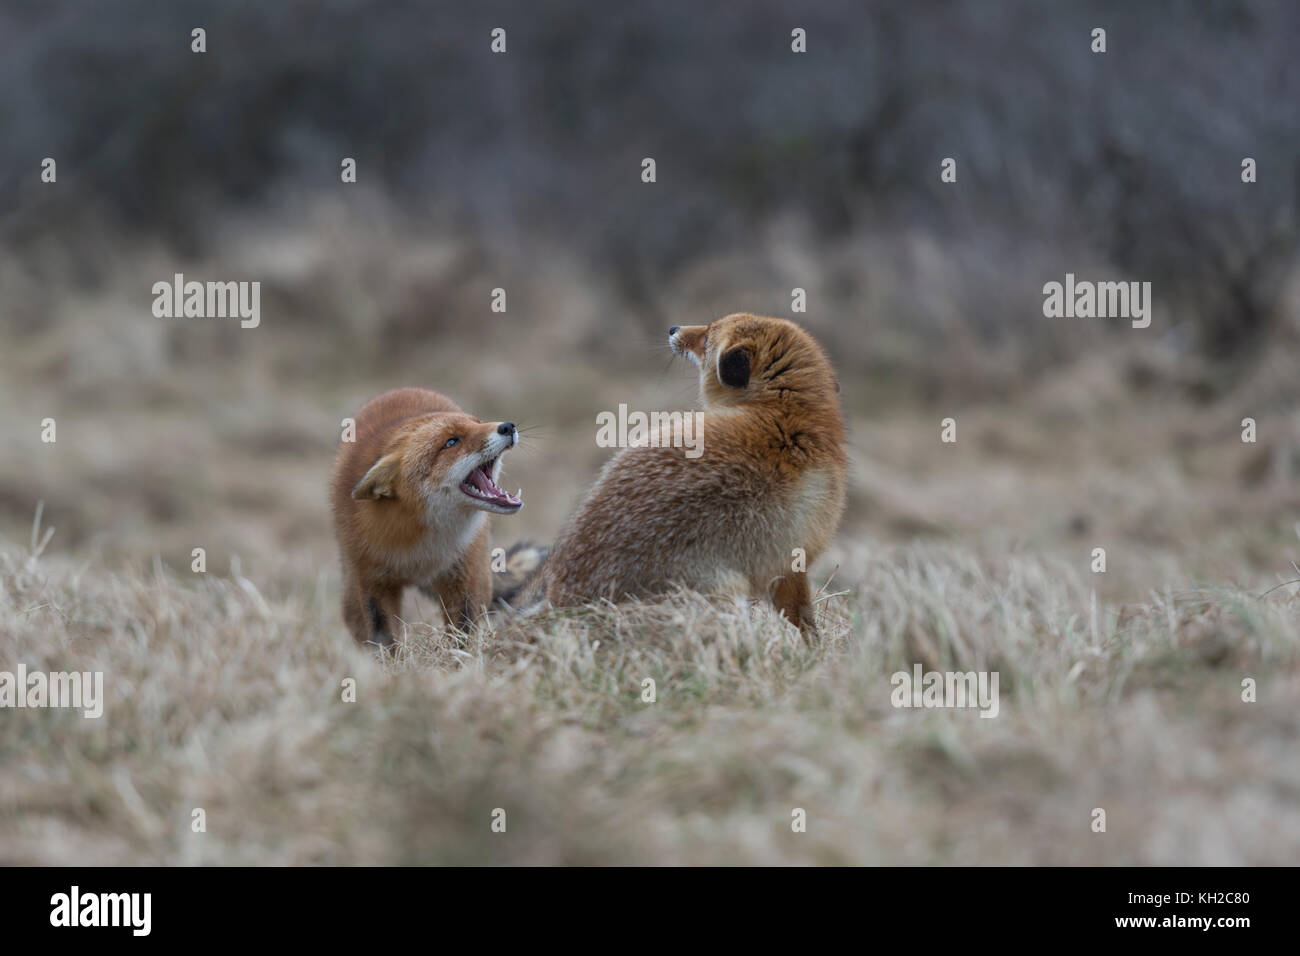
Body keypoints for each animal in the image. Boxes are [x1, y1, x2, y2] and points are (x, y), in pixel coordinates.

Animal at [330, 387, 523, 648]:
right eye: (451, 441)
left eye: (478, 423)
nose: (508, 426)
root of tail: (400, 389)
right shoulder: (373, 580)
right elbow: (384, 635)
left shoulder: (462, 574)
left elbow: (463, 628)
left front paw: (460, 656)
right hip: (352, 597)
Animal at [539, 313, 847, 636]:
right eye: (710, 328)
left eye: (706, 336)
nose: (673, 329)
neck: (788, 412)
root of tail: (563, 601)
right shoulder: (791, 561)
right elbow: (804, 622)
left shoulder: (790, 563)